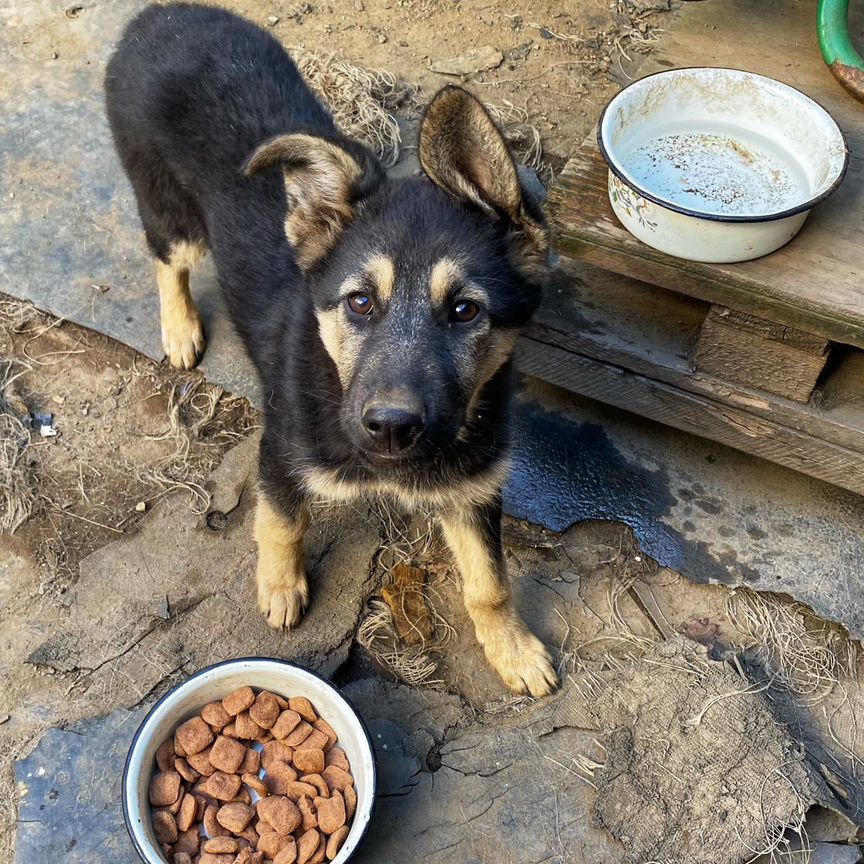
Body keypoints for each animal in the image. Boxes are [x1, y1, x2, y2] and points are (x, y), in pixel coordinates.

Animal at [106, 0, 560, 696]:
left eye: (465, 311)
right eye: (360, 302)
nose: (392, 428)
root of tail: (160, 16)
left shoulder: (473, 483)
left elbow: (489, 580)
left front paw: (511, 649)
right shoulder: (281, 448)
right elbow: (282, 521)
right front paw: (280, 587)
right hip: (166, 207)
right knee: (166, 259)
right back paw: (180, 328)